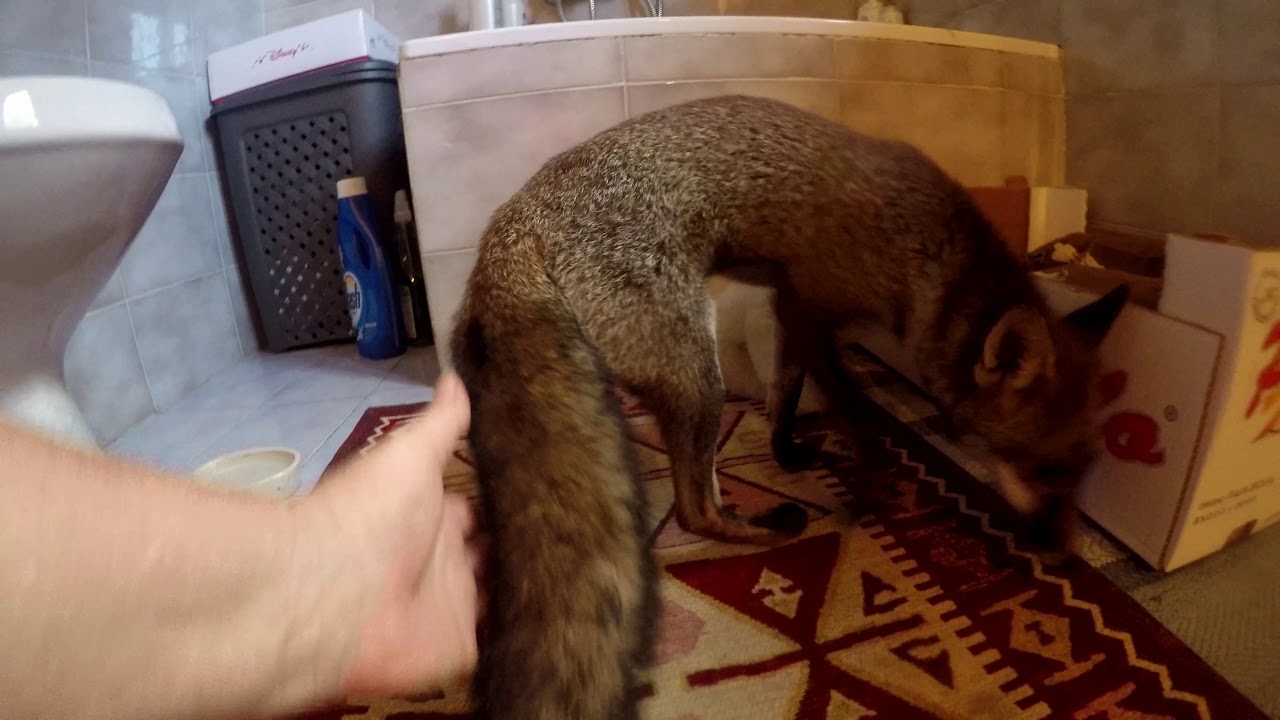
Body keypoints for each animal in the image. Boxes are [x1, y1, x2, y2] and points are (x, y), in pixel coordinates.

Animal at [449, 94, 1128, 720]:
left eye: (1085, 469)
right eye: (1043, 469)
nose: (1066, 556)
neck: (926, 256)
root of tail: (512, 220)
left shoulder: (786, 302)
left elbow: (786, 395)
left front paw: (789, 453)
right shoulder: (811, 305)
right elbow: (856, 414)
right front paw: (870, 493)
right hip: (699, 372)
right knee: (694, 511)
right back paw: (766, 528)